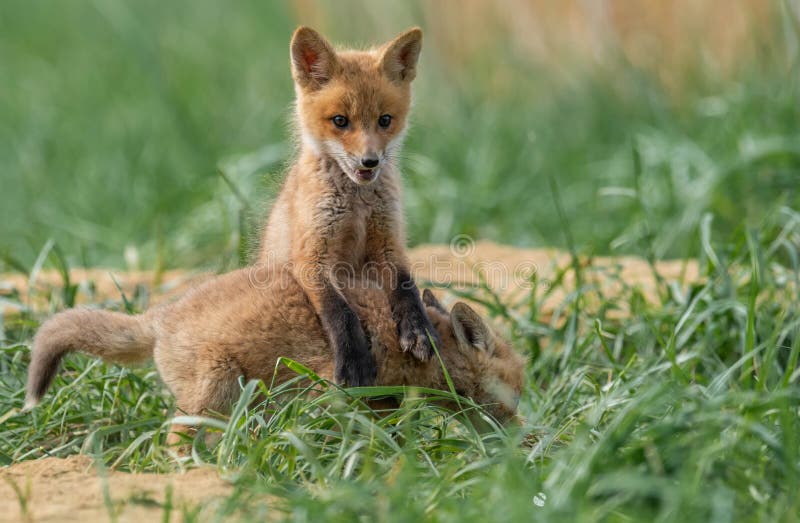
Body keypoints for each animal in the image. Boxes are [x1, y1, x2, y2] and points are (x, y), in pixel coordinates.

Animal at [24, 266, 526, 442]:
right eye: (515, 392)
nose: (525, 436)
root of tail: (161, 316)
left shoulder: (379, 399)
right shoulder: (332, 386)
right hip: (217, 391)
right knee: (176, 436)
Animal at [259, 26, 438, 387]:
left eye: (385, 120)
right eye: (340, 121)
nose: (370, 161)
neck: (357, 207)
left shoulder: (388, 243)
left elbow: (407, 289)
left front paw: (419, 331)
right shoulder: (311, 257)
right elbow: (340, 312)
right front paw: (355, 365)